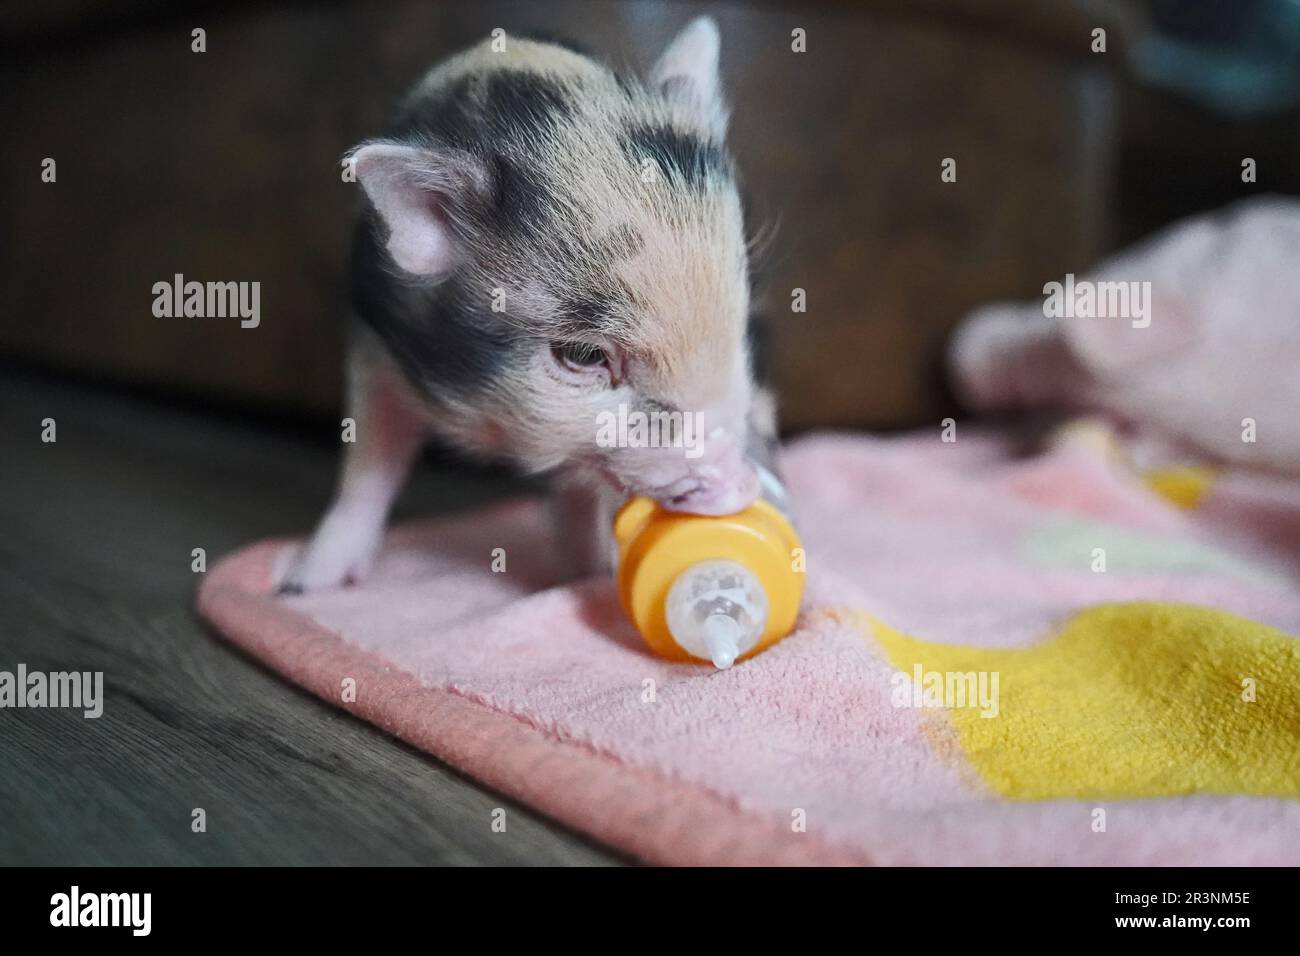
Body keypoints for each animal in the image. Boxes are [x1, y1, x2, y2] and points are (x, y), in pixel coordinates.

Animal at [280, 18, 778, 593]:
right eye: (584, 356)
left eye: (737, 321)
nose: (742, 487)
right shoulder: (375, 344)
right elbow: (368, 462)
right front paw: (300, 587)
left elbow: (581, 493)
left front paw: (590, 578)